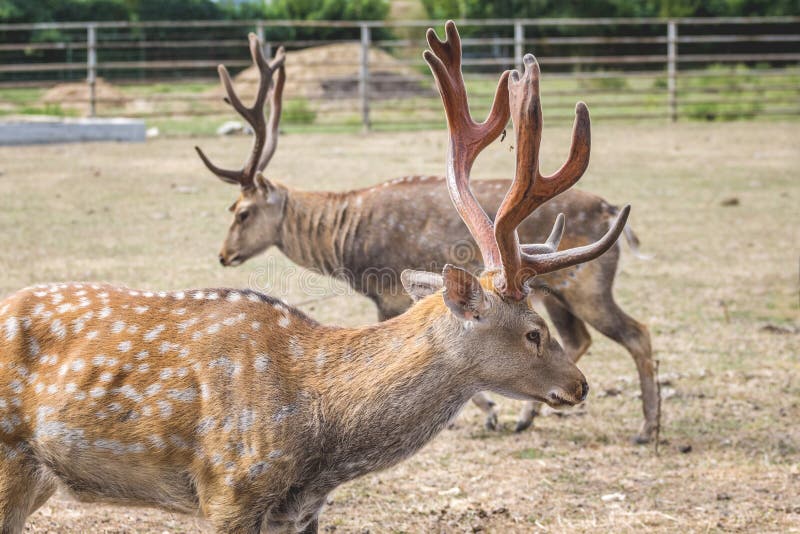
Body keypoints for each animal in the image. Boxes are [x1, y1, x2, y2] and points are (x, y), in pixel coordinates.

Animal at [196, 33, 658, 442]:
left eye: (242, 212)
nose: (222, 254)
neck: (347, 243)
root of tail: (611, 209)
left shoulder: (388, 292)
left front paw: (487, 412)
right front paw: (489, 410)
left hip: (588, 285)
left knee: (635, 331)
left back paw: (645, 428)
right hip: (556, 293)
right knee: (581, 338)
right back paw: (533, 417)